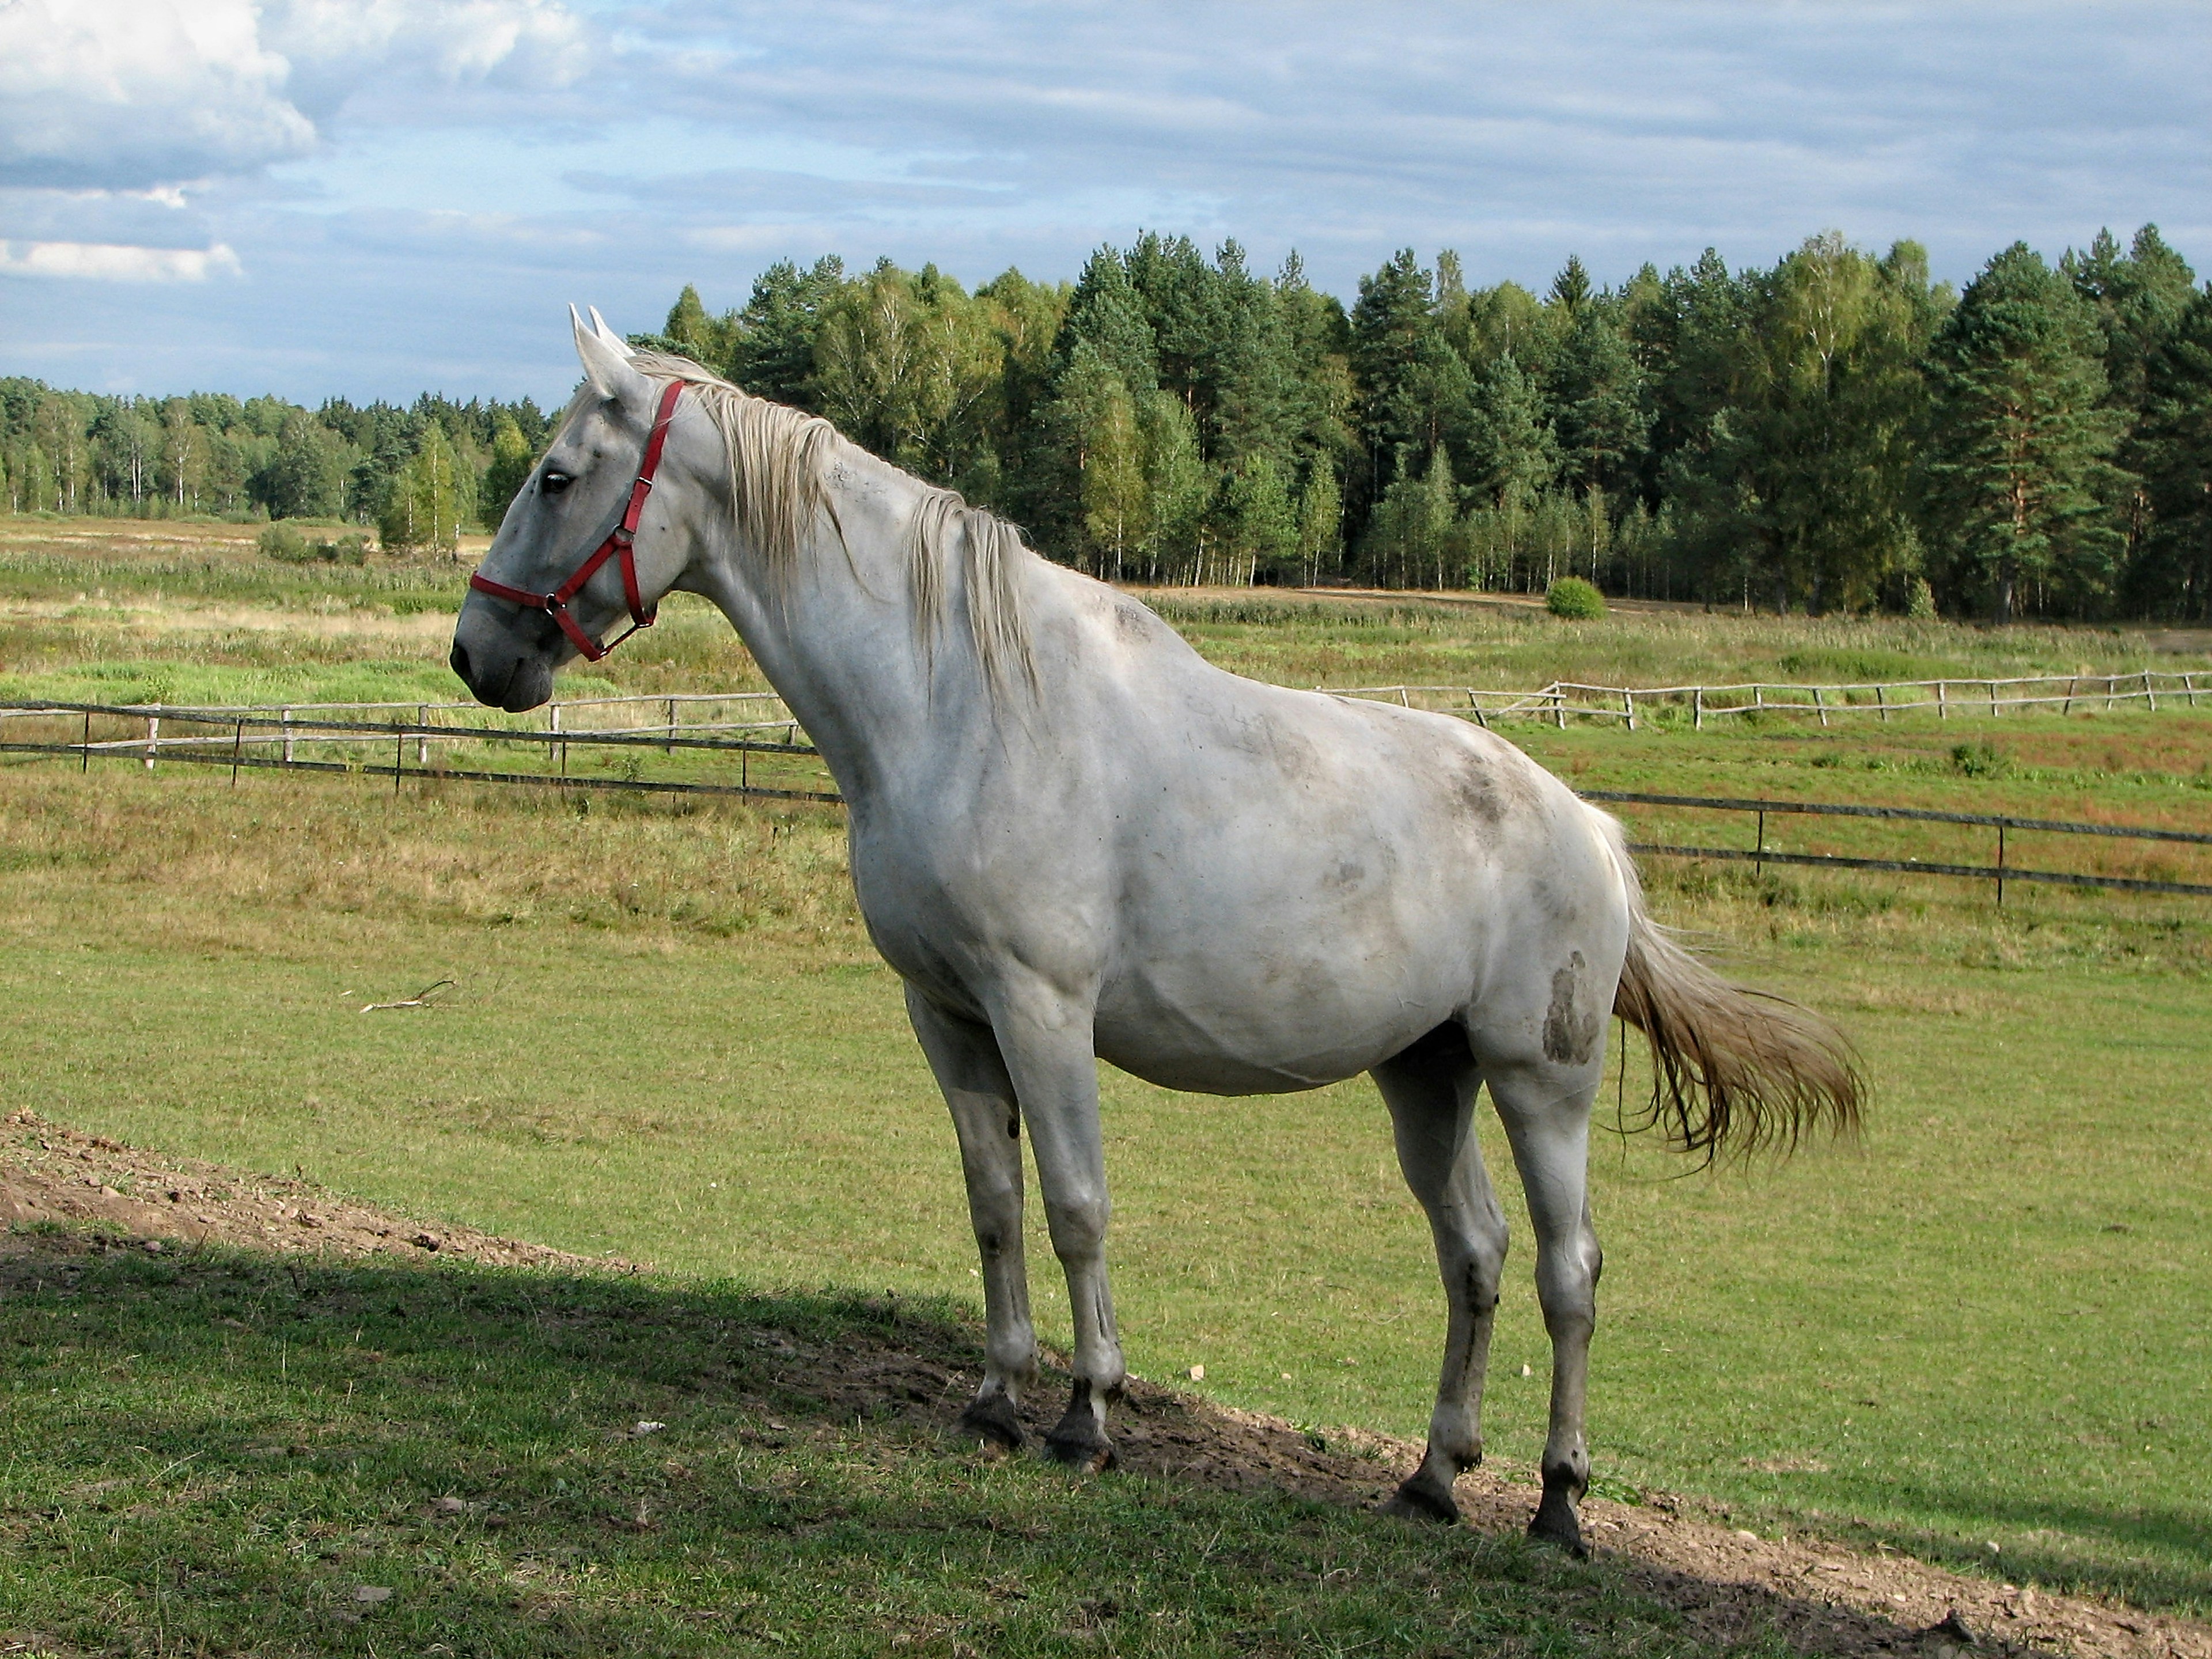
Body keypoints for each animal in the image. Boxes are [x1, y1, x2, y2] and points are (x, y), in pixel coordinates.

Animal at [449, 310, 1861, 1556]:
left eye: (556, 476)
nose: (475, 652)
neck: (959, 703)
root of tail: (1590, 828)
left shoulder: (1042, 1008)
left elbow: (1076, 1206)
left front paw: (1088, 1416)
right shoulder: (946, 1013)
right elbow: (994, 1205)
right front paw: (994, 1401)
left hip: (1538, 1081)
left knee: (1571, 1272)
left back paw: (1560, 1502)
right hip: (1428, 1076)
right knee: (1476, 1254)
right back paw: (1433, 1479)